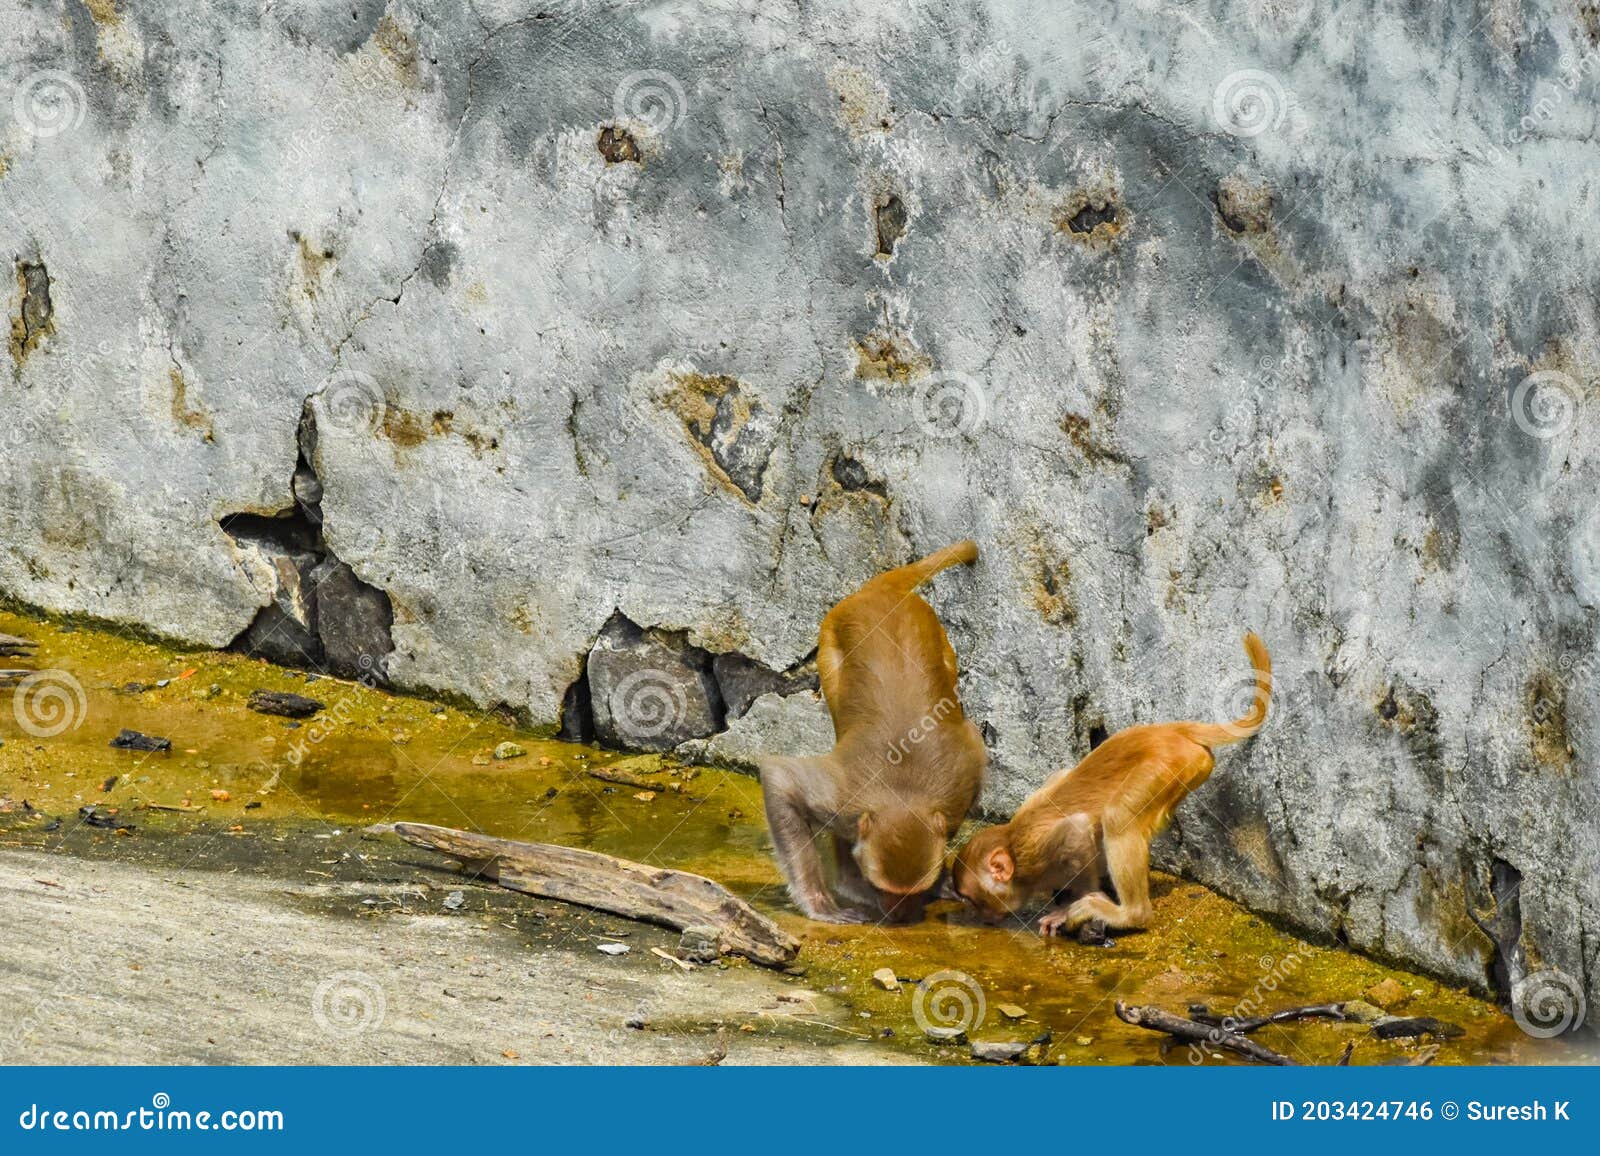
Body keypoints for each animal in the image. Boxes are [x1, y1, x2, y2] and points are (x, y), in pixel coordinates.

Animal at [758, 540, 985, 924]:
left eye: (914, 891)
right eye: (884, 888)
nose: (900, 915)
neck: (903, 792)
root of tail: (880, 593)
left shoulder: (963, 778)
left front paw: (940, 883)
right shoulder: (839, 798)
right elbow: (779, 778)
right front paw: (822, 904)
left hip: (943, 646)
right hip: (830, 646)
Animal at [951, 631, 1271, 936]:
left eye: (970, 898)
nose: (978, 916)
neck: (1014, 849)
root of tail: (1167, 731)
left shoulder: (1037, 855)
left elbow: (1077, 831)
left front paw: (1069, 906)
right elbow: (1059, 779)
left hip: (1168, 766)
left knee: (1118, 818)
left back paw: (1130, 914)